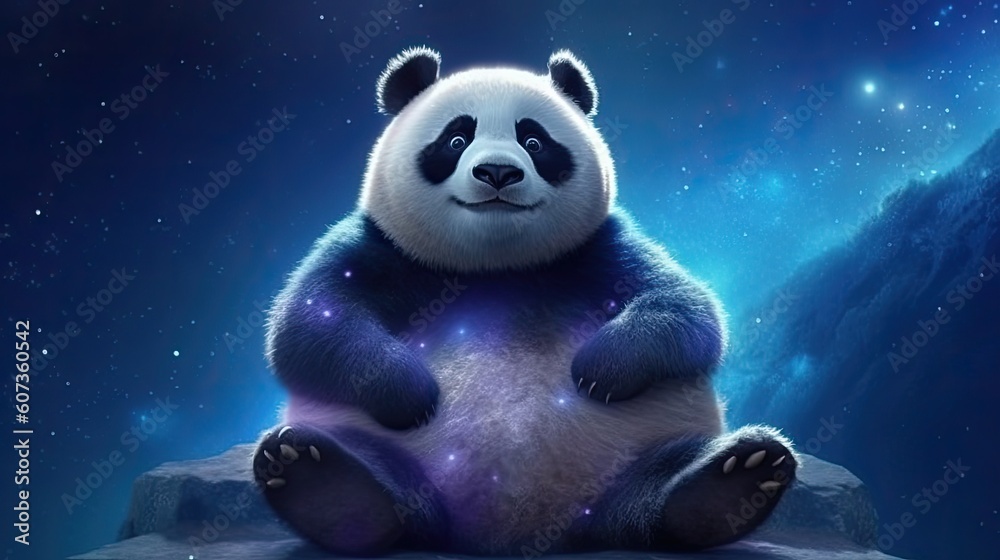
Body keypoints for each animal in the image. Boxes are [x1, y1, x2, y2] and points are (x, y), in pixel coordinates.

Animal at [253, 47, 798, 556]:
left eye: (534, 142)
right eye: (456, 139)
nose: (497, 171)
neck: (495, 267)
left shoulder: (599, 249)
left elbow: (686, 309)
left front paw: (599, 370)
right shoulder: (380, 247)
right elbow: (309, 325)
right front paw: (410, 393)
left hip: (641, 448)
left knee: (661, 488)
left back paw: (733, 480)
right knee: (374, 478)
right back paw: (321, 483)